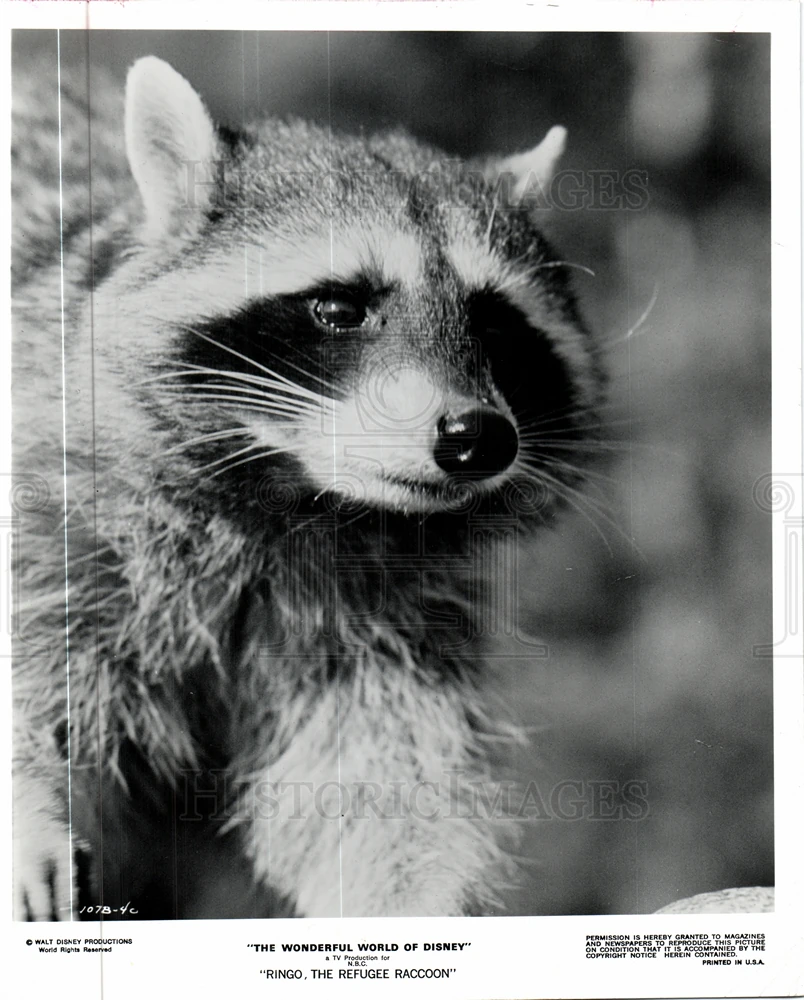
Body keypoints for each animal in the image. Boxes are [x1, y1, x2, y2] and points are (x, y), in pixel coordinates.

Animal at [12, 55, 603, 919]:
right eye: (337, 308)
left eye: (493, 321)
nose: (477, 437)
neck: (293, 498)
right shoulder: (54, 500)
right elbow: (31, 663)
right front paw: (31, 805)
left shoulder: (388, 621)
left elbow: (376, 783)